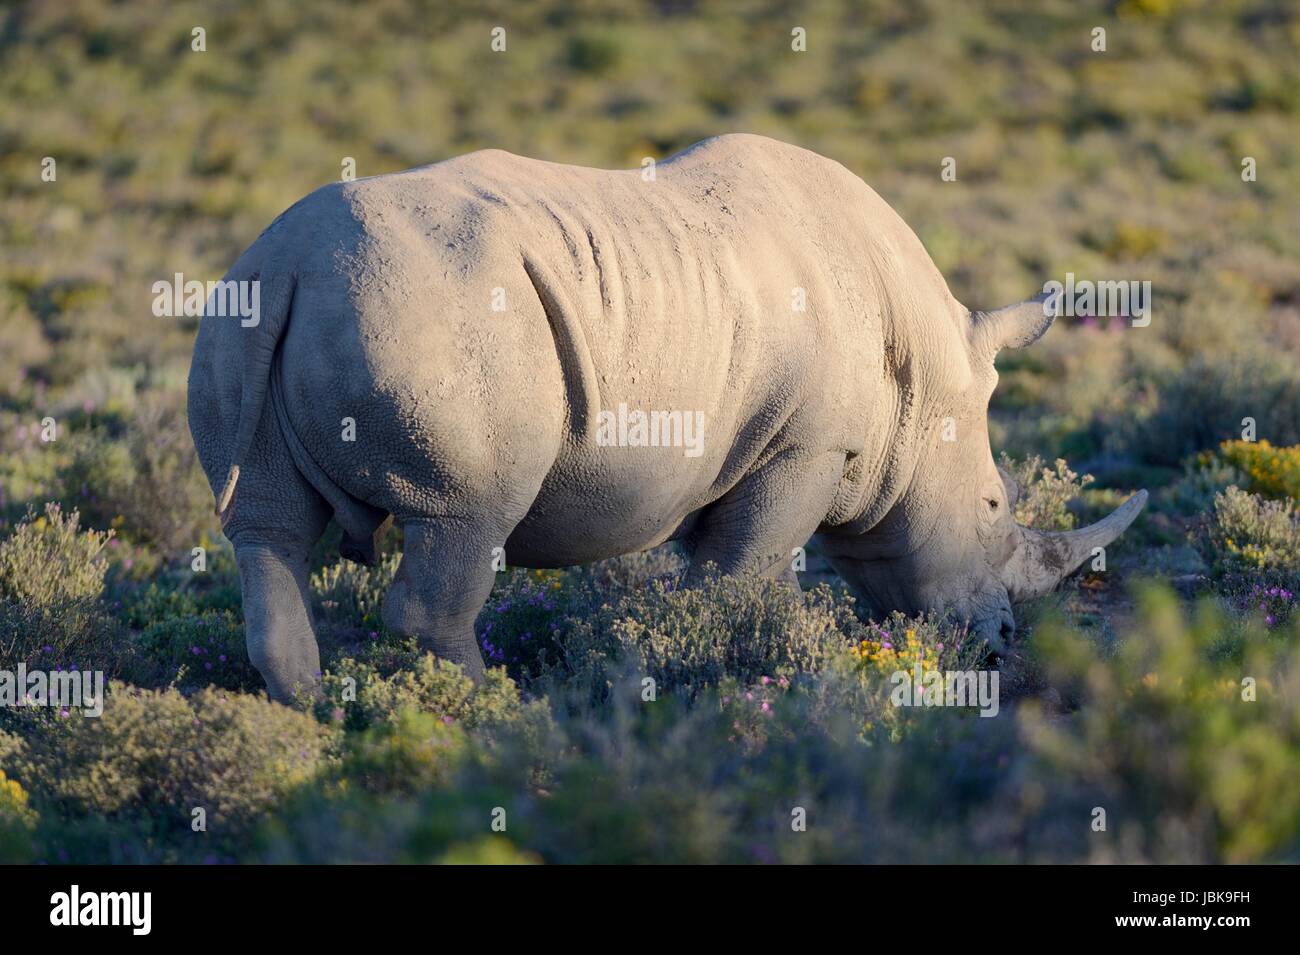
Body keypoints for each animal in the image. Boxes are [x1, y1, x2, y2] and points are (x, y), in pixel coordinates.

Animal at [188, 134, 1146, 701]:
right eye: (993, 506)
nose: (1000, 646)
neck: (916, 374)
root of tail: (288, 265)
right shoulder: (804, 445)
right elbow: (743, 570)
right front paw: (727, 658)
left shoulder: (739, 445)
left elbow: (724, 563)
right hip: (429, 314)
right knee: (465, 520)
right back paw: (495, 713)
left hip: (242, 317)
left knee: (267, 528)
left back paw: (308, 718)